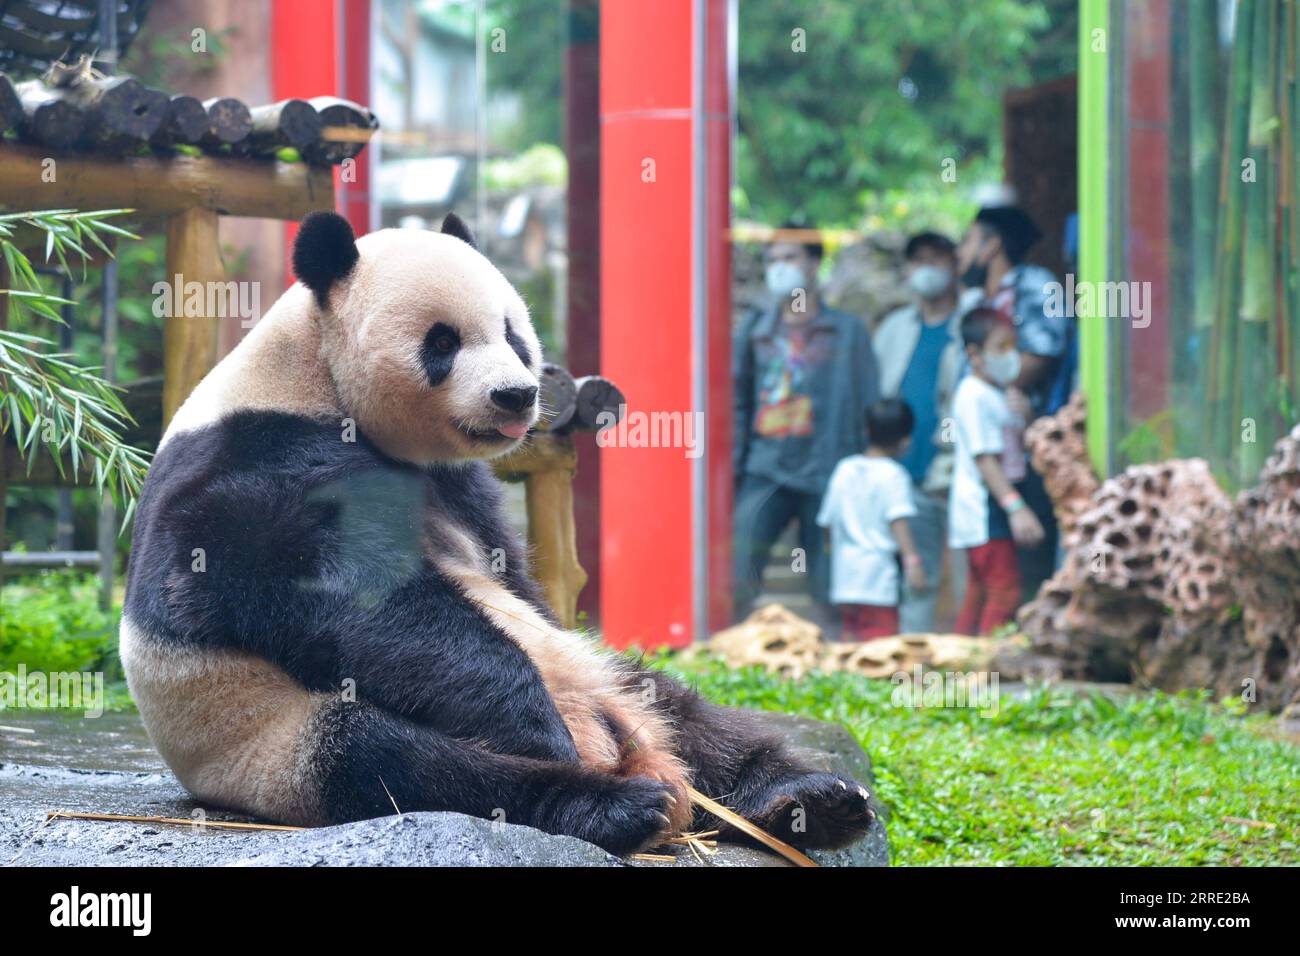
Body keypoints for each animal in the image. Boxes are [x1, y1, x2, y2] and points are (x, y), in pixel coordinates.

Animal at [118, 211, 875, 856]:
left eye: (513, 333)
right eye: (442, 342)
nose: (516, 395)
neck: (313, 375)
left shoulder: (462, 490)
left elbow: (512, 582)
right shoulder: (253, 463)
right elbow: (339, 598)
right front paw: (535, 726)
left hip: (599, 673)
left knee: (684, 709)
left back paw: (807, 800)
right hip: (277, 742)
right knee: (406, 764)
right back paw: (620, 803)